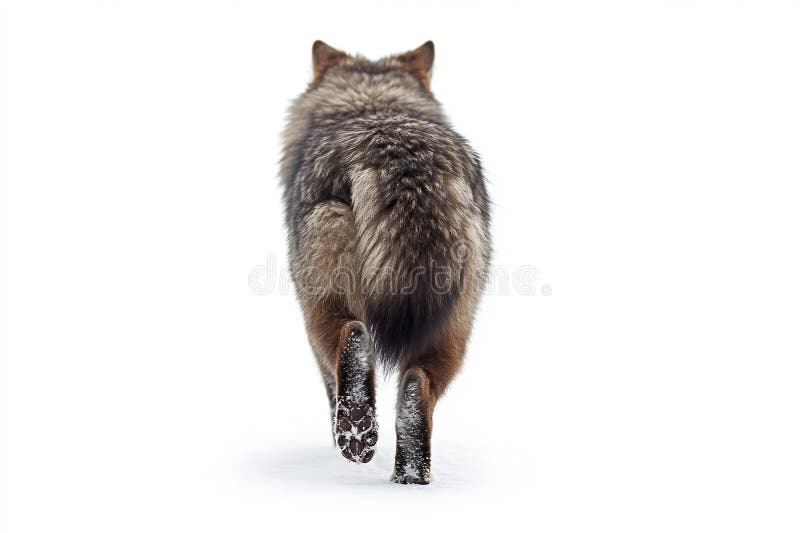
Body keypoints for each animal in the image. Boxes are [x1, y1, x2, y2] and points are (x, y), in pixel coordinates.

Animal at [279, 40, 491, 484]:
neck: (371, 102)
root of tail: (398, 148)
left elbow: (329, 386)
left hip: (321, 306)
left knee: (353, 336)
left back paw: (355, 434)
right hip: (450, 327)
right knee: (417, 387)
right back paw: (409, 475)